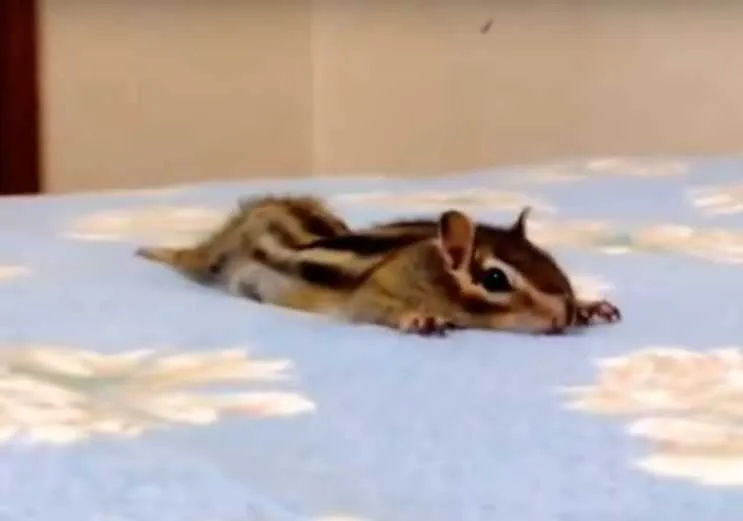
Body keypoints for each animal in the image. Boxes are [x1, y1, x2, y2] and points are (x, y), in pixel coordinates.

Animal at [137, 195, 621, 336]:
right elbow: (372, 307)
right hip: (219, 262)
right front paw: (418, 318)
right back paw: (157, 251)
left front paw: (589, 306)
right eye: (495, 278)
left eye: (550, 261)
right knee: (193, 260)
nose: (562, 314)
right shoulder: (373, 289)